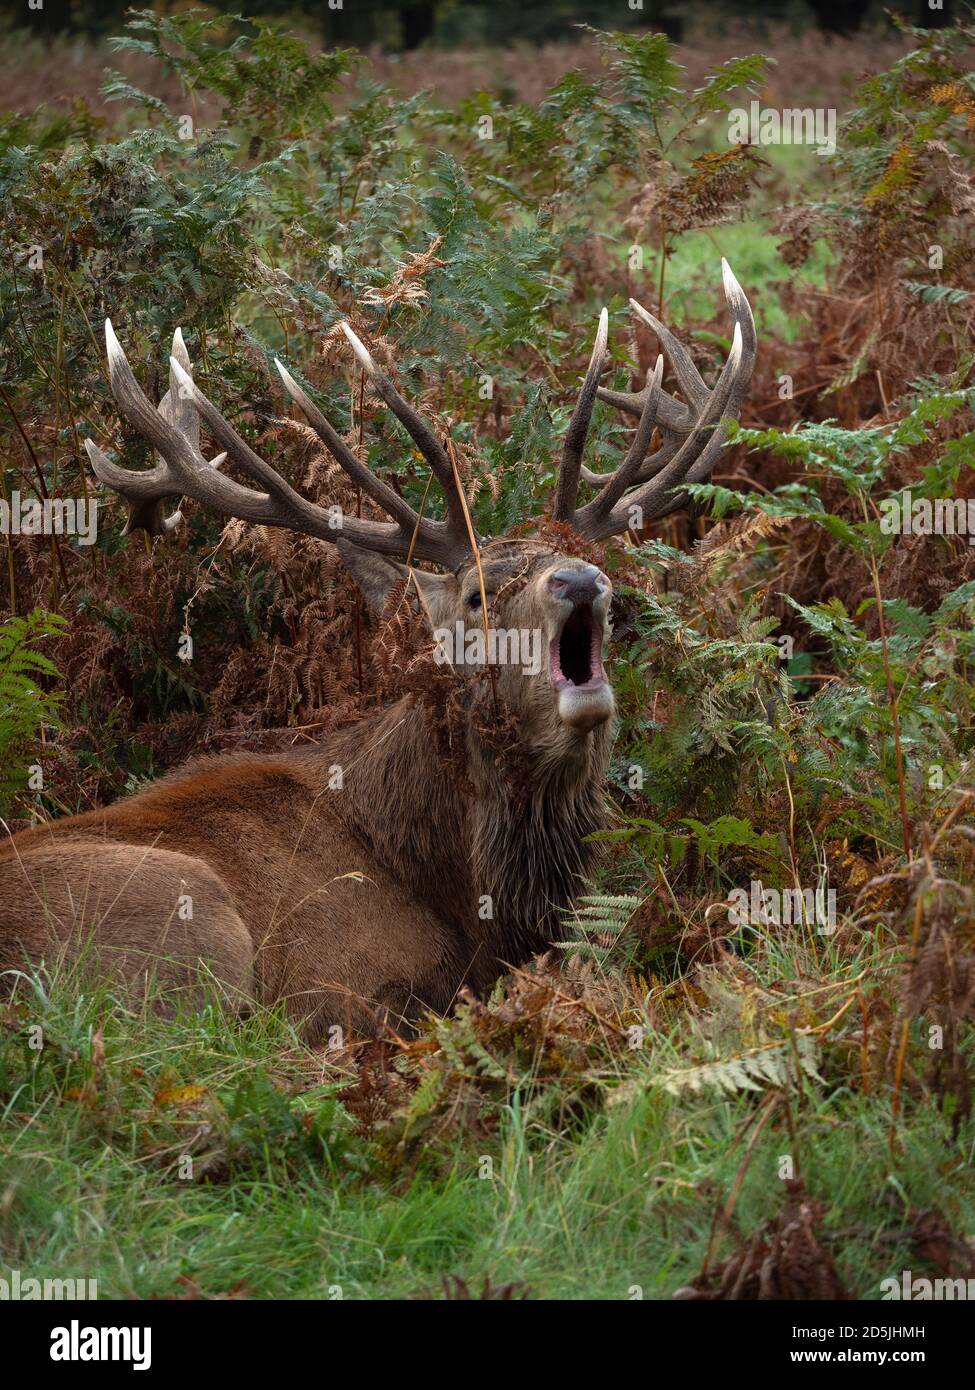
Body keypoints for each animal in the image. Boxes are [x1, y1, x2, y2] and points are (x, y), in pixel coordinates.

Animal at [0, 262, 755, 1043]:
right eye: (478, 595)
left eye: (588, 557)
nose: (580, 581)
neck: (462, 896)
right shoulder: (337, 988)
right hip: (186, 915)